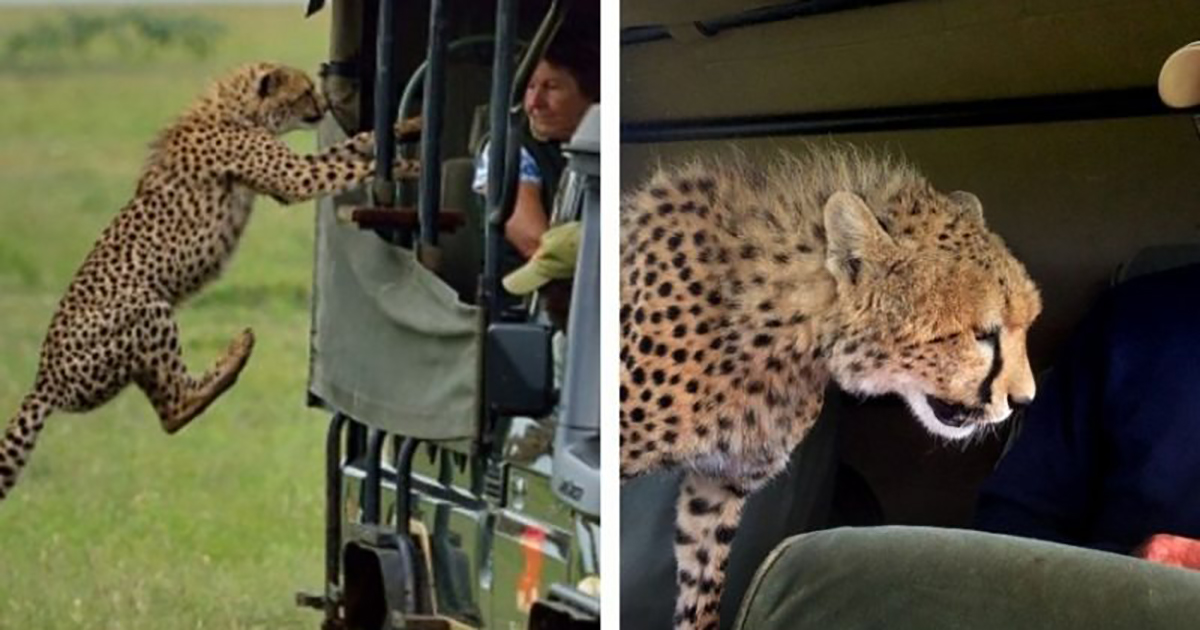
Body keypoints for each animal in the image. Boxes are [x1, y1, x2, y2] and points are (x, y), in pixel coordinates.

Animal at [0, 62, 419, 502]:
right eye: (304, 92)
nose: (322, 107)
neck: (236, 110)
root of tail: (41, 381)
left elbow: (356, 146)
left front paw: (406, 127)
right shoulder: (295, 179)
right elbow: (349, 166)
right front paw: (408, 166)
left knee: (168, 410)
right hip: (144, 306)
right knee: (175, 409)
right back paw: (236, 354)